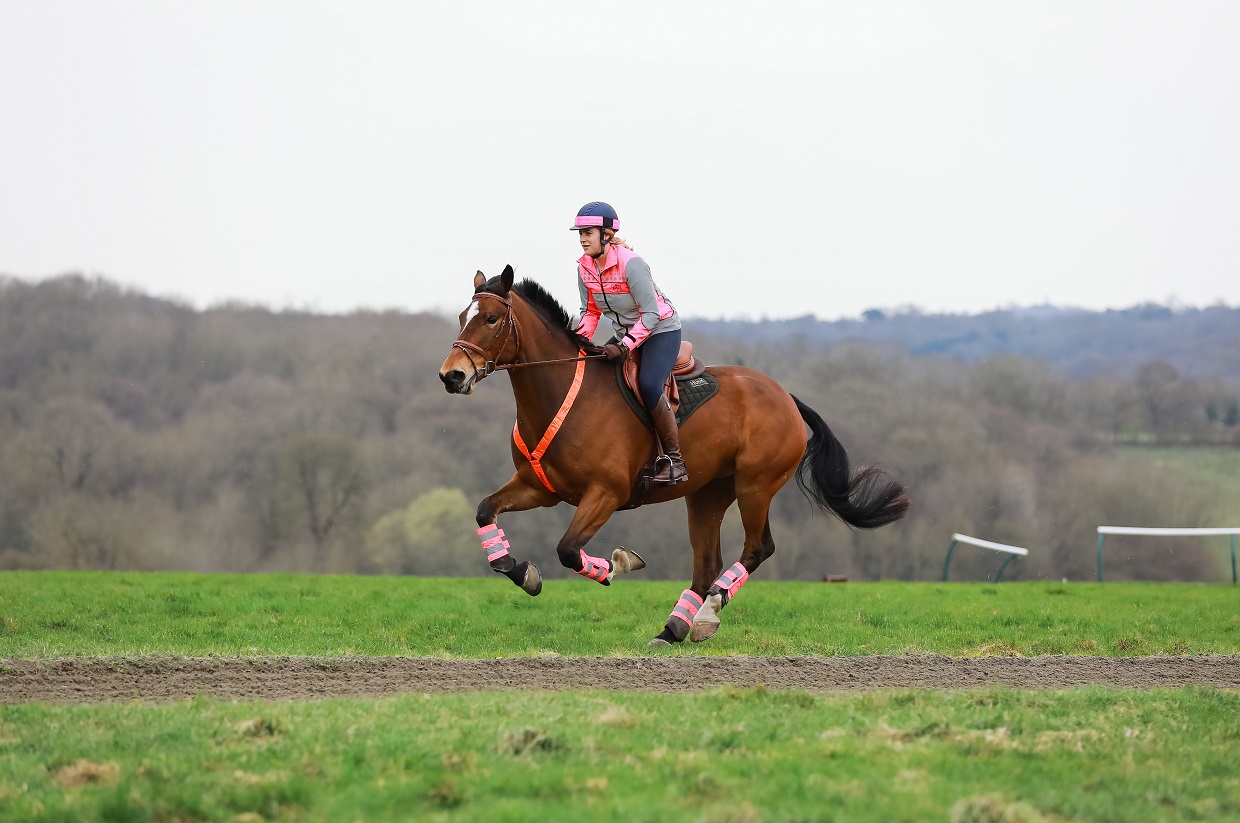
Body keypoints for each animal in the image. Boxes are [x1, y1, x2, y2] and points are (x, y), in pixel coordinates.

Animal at [438, 265, 909, 646]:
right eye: (462, 317)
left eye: (491, 319)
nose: (451, 376)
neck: (558, 395)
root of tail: (785, 397)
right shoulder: (540, 488)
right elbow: (485, 511)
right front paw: (521, 571)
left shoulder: (606, 493)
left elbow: (568, 550)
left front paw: (617, 564)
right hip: (706, 494)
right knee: (707, 564)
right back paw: (673, 629)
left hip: (755, 486)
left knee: (758, 548)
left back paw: (707, 614)